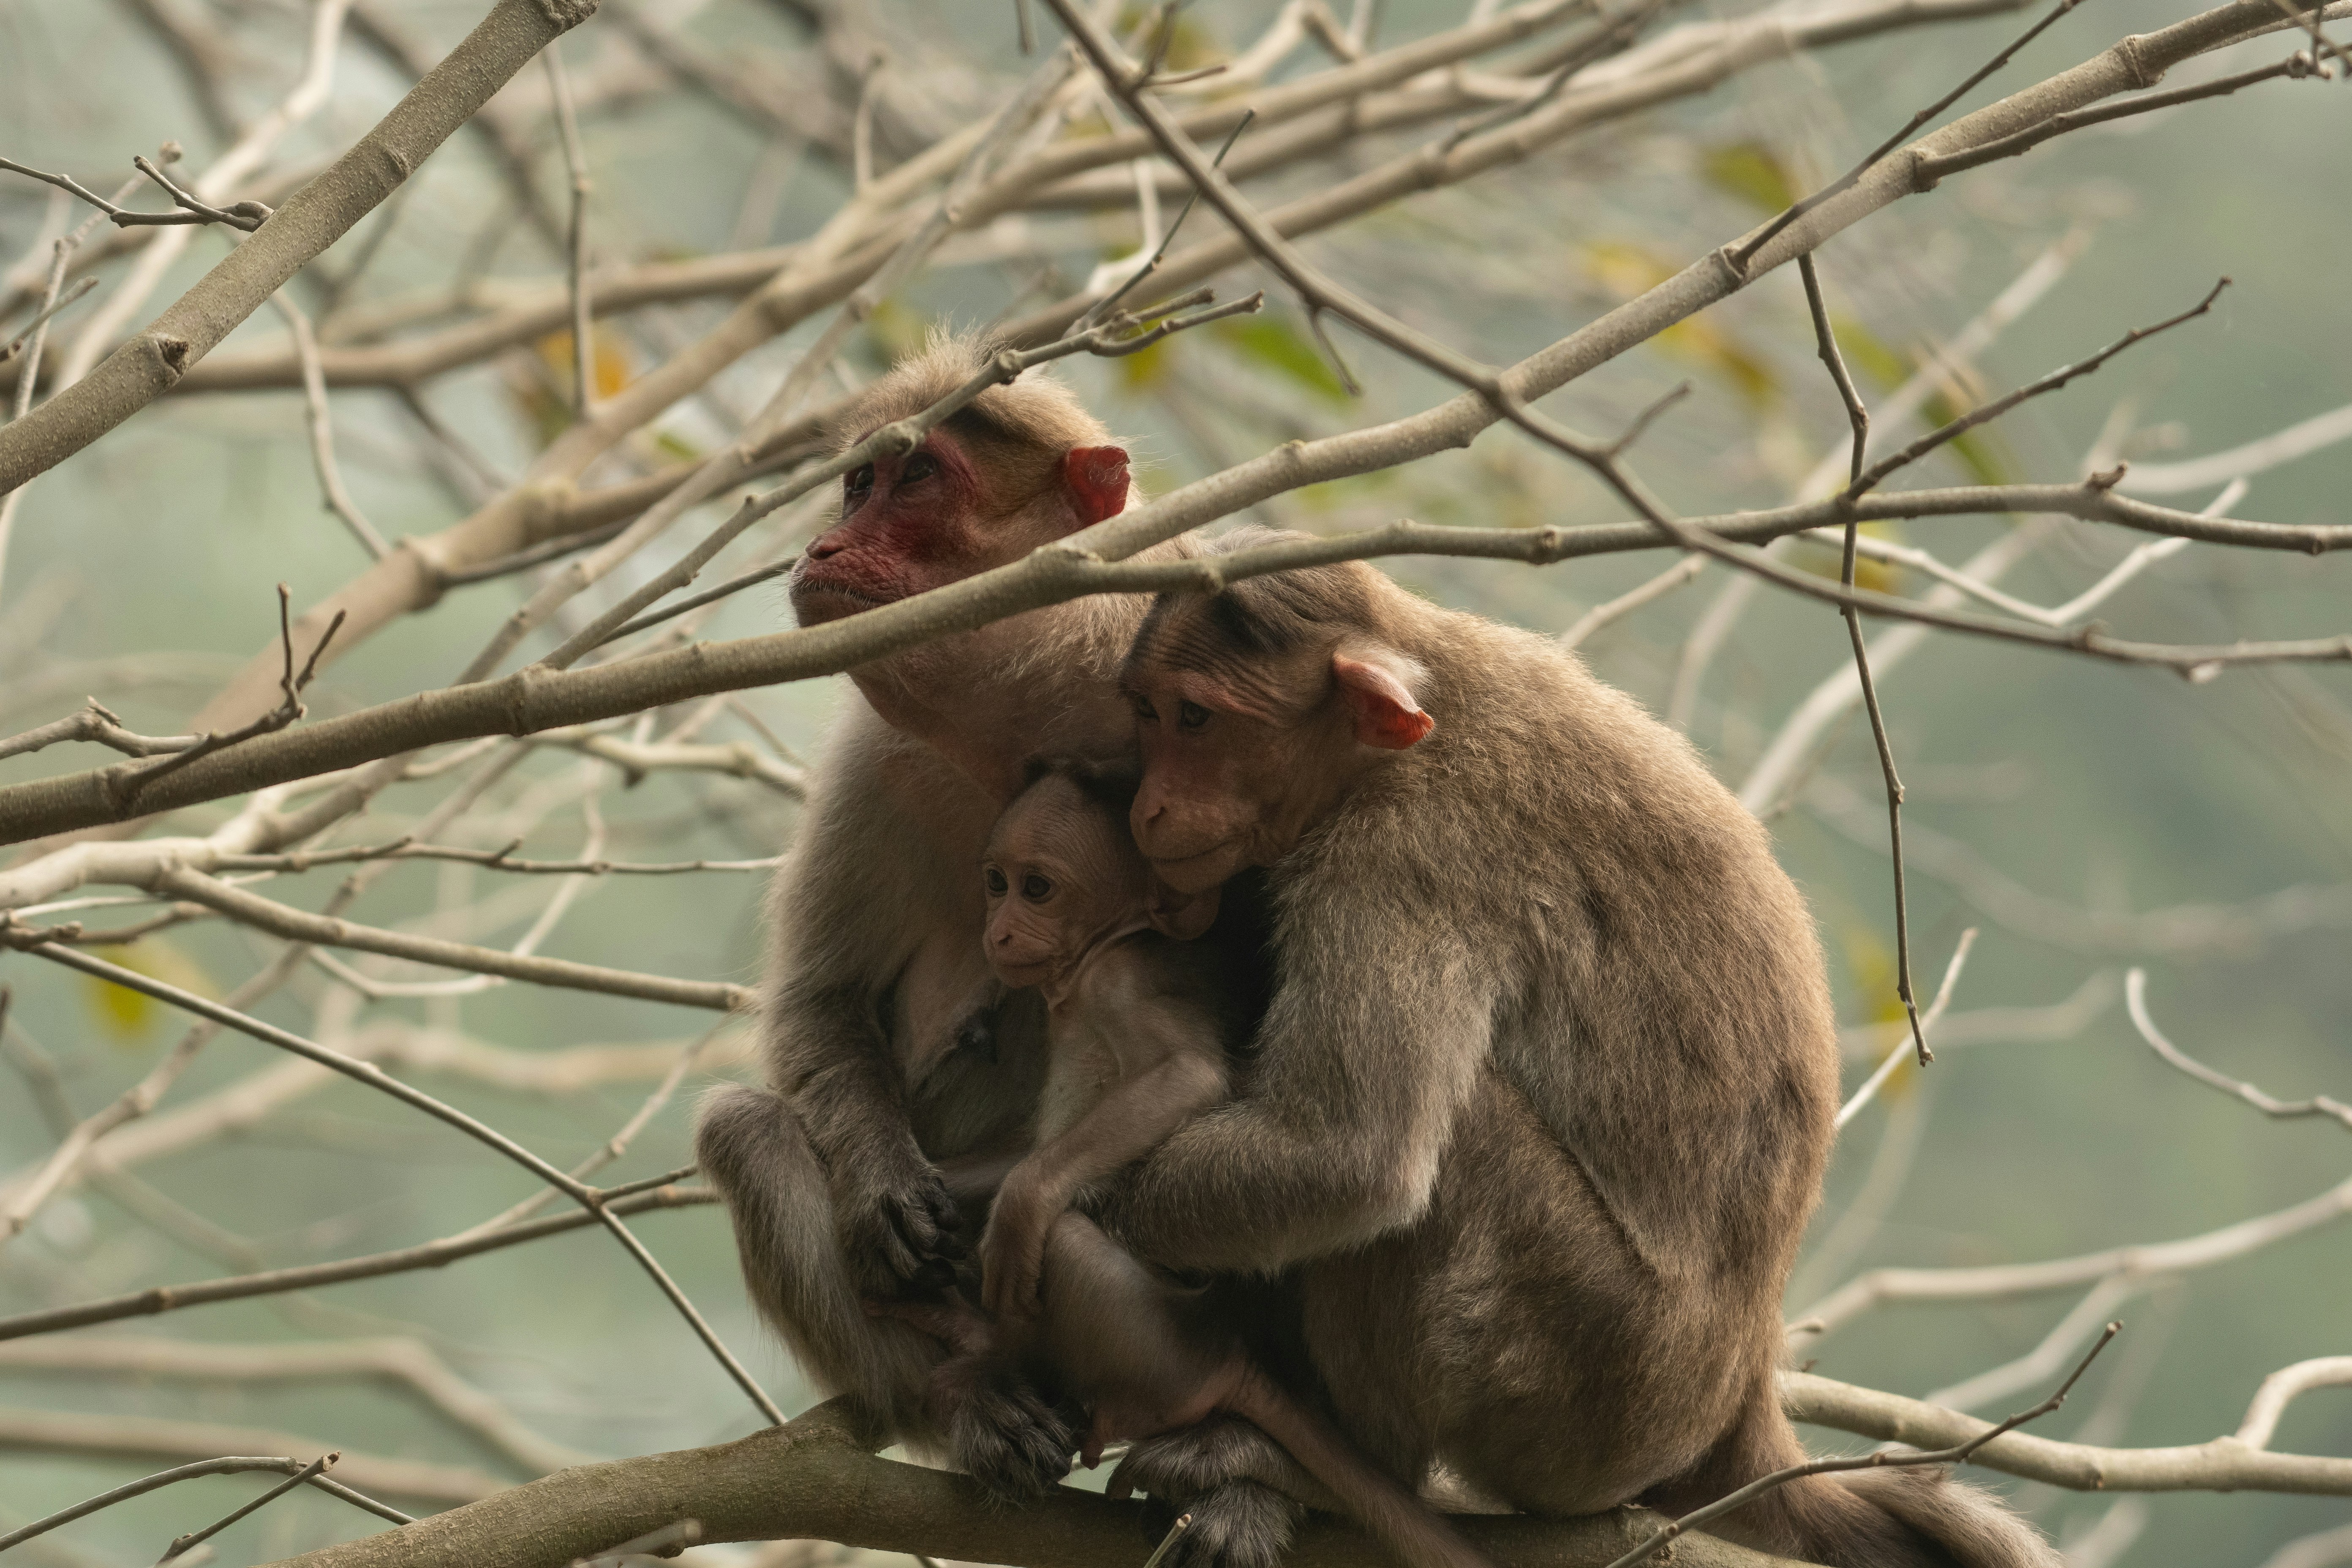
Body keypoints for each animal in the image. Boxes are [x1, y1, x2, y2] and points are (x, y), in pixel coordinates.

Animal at [868, 761, 1500, 1568]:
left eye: (1037, 888)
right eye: (995, 881)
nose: (997, 930)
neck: (1091, 961)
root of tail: (1225, 1355)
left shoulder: (1120, 983)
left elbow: (1184, 1077)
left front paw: (1020, 1203)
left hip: (1155, 1340)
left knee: (1063, 1245)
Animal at [1083, 532, 2058, 1568]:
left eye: (1196, 718)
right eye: (1147, 711)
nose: (1150, 806)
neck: (1403, 733)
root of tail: (1737, 1399)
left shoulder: (1404, 861)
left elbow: (1346, 1156)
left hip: (1578, 1384)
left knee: (1455, 1154)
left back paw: (1330, 1469)